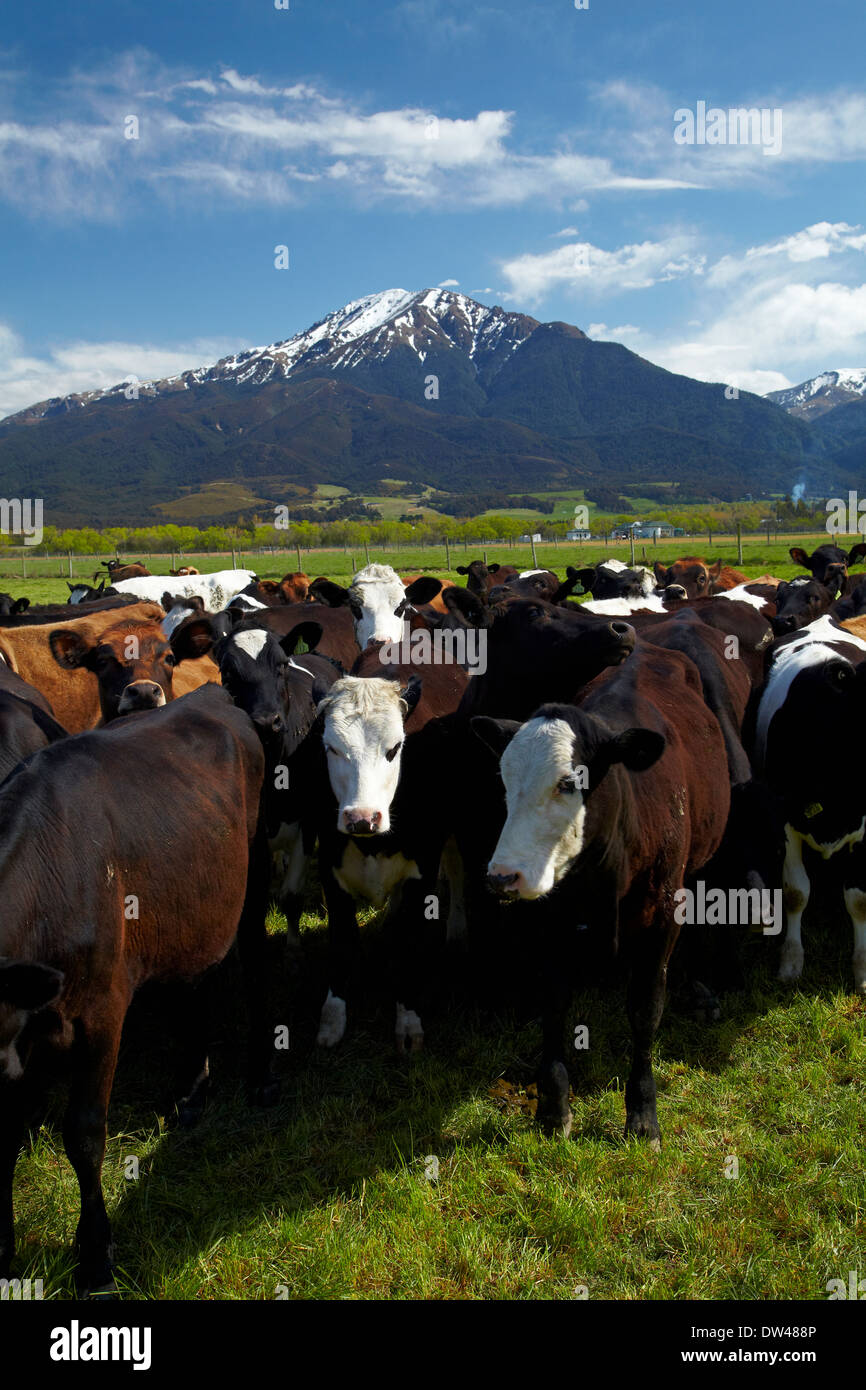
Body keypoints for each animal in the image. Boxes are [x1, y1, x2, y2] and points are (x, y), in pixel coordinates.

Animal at [0, 684, 271, 1295]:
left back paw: (262, 1076)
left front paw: (95, 1258)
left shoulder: (102, 1010)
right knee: (196, 983)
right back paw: (191, 1088)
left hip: (254, 875)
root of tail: (209, 693)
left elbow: (83, 1135)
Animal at [473, 634, 730, 1146]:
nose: (503, 876)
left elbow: (646, 1010)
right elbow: (553, 1006)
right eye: (505, 781)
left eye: (569, 782)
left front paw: (643, 1115)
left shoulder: (663, 917)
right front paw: (553, 1109)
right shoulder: (548, 922)